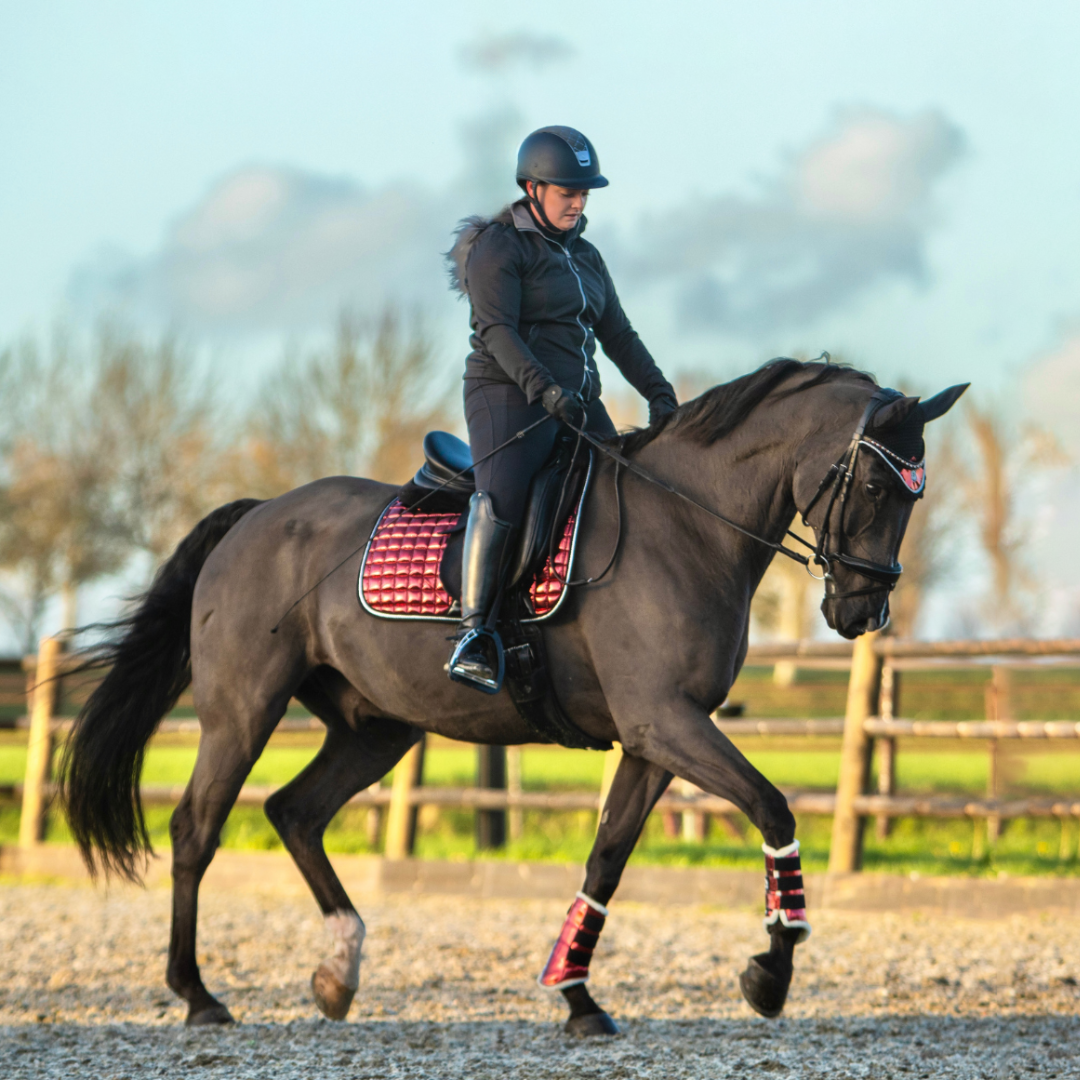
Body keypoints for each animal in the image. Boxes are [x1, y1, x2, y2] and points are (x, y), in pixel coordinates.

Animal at [61, 358, 966, 1034]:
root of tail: (257, 516)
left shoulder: (655, 741)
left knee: (295, 812)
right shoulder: (665, 722)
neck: (689, 525)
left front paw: (576, 995)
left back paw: (337, 972)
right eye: (879, 488)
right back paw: (198, 995)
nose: (863, 612)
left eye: (914, 493)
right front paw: (771, 970)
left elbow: (607, 860)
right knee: (196, 830)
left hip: (374, 727)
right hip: (242, 712)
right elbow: (772, 807)